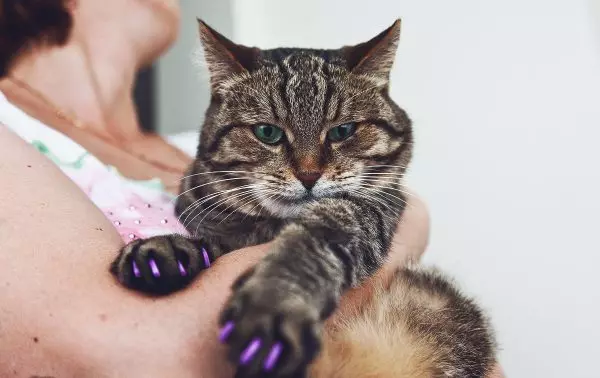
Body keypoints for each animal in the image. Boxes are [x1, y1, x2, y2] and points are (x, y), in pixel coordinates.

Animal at [110, 19, 494, 376]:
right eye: (268, 133)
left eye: (342, 131)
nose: (309, 175)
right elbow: (212, 242)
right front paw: (165, 250)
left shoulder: (365, 212)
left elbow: (309, 245)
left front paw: (275, 300)